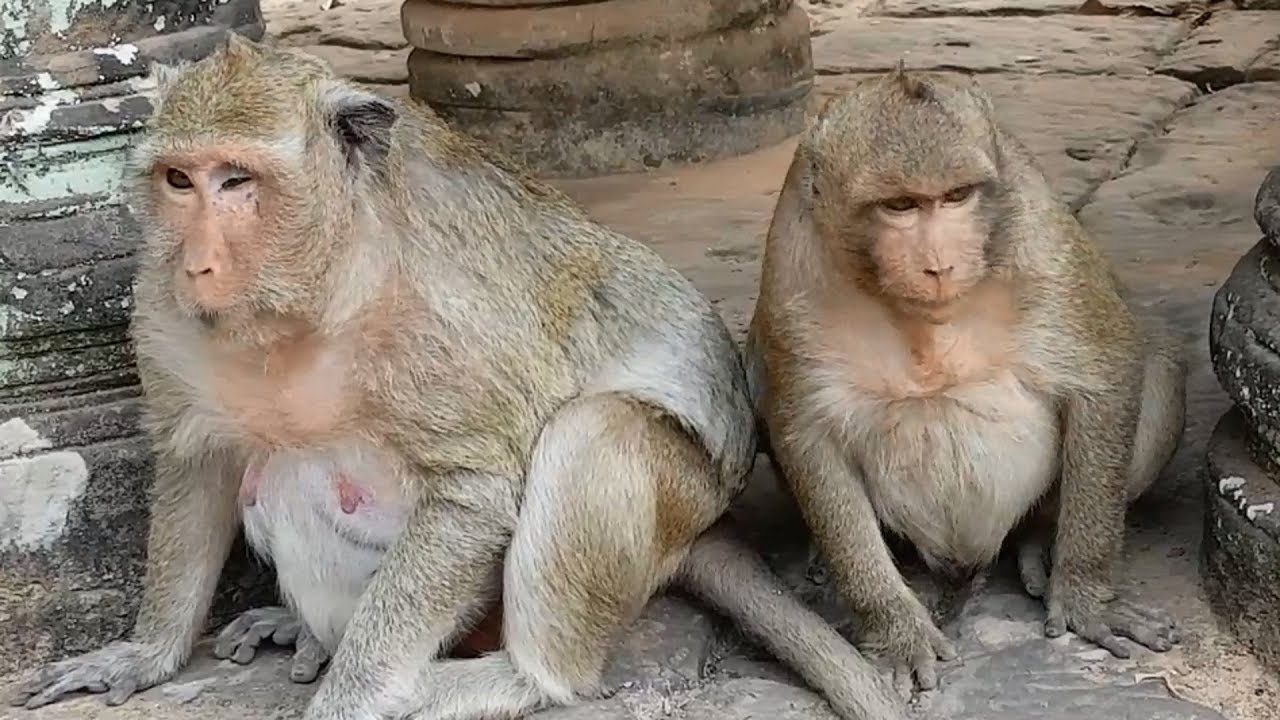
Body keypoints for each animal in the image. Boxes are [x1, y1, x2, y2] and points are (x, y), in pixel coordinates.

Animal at [9, 36, 907, 720]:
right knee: (280, 474)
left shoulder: (434, 318)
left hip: (674, 500)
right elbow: (196, 466)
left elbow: (475, 491)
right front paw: (146, 653)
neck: (311, 291)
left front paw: (348, 701)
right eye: (178, 180)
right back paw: (310, 635)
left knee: (593, 432)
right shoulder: (160, 310)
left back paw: (506, 678)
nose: (196, 262)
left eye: (237, 180)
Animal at [744, 68, 1186, 695]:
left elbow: (1105, 373)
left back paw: (1037, 540)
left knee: (1162, 368)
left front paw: (1086, 593)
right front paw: (894, 628)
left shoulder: (1042, 239)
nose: (938, 265)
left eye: (956, 196)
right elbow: (805, 433)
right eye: (900, 205)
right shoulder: (792, 265)